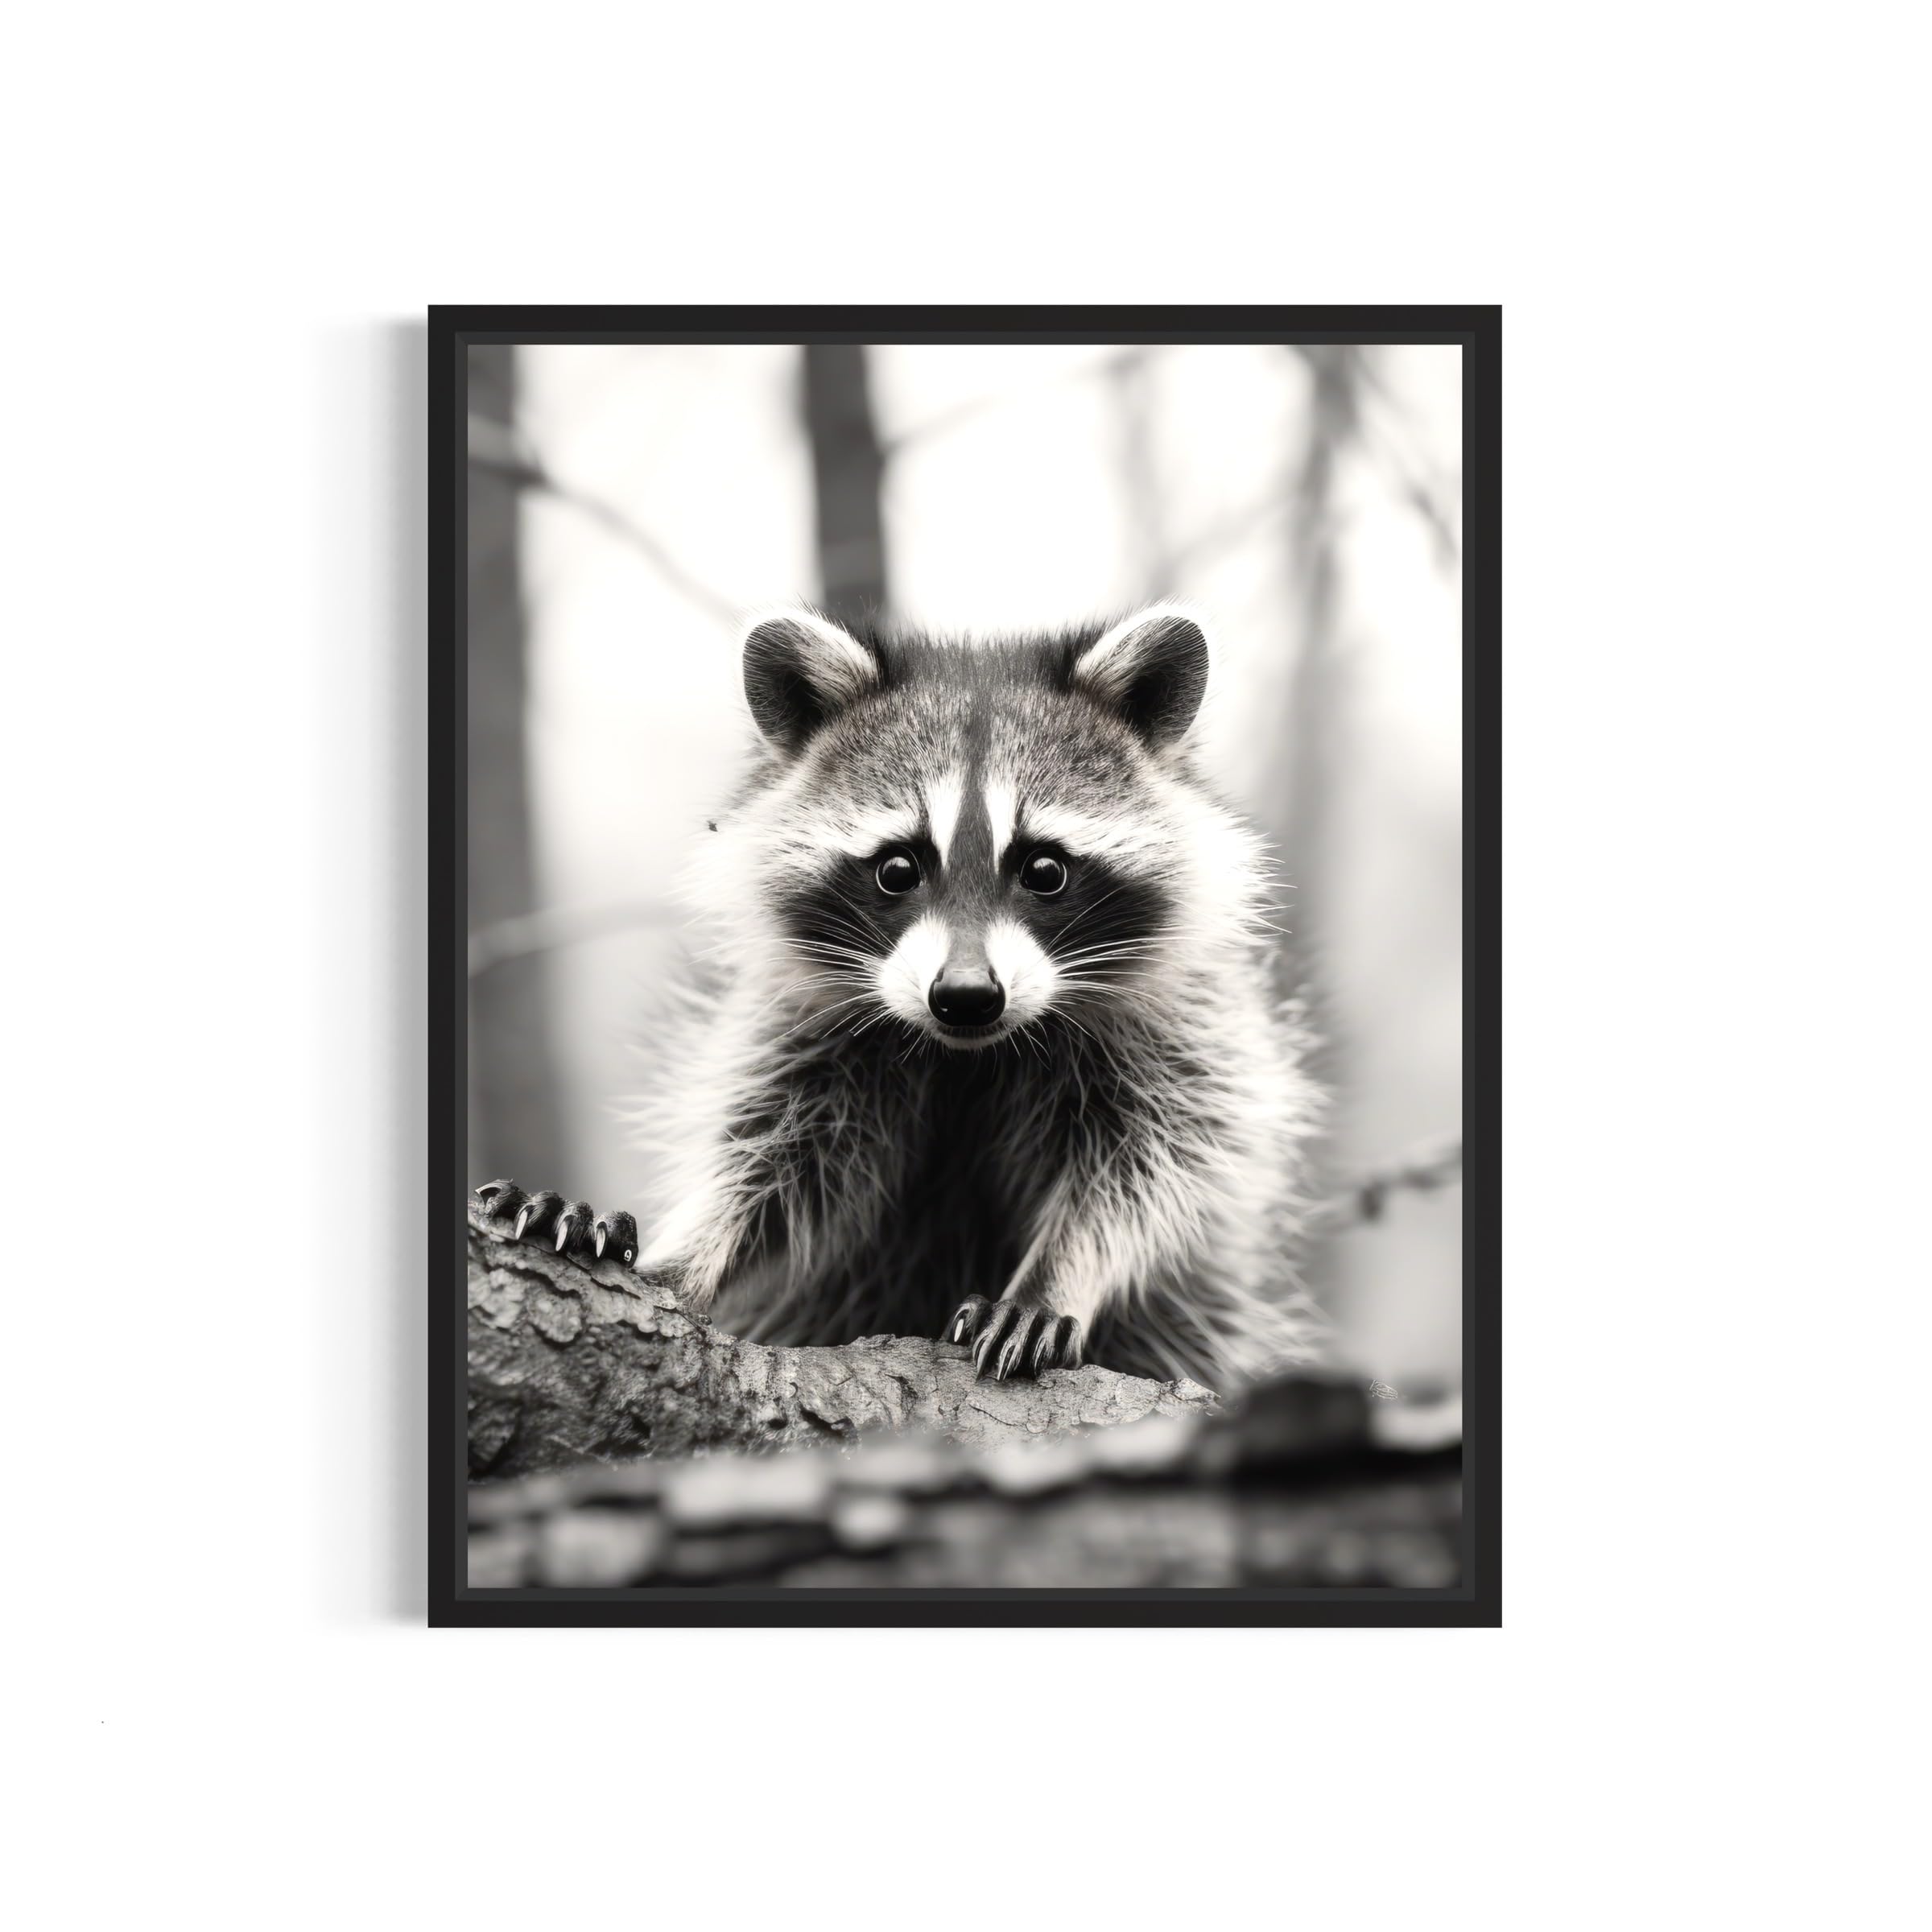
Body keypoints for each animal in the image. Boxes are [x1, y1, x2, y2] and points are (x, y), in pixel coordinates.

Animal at [476, 602, 1324, 1392]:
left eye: (1045, 870)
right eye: (897, 869)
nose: (967, 996)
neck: (970, 1054)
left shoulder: (1176, 1030)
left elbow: (1147, 1171)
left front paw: (1055, 1277)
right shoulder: (801, 1030)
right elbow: (772, 1160)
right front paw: (680, 1253)